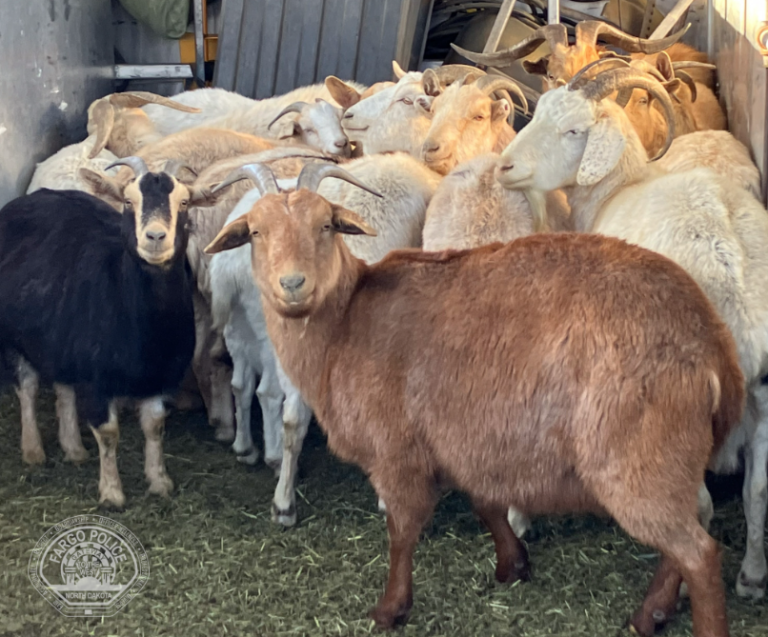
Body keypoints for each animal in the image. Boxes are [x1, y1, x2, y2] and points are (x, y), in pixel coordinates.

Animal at [0, 158, 196, 509]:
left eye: (184, 202)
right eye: (128, 201)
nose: (155, 237)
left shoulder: (165, 376)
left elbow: (155, 427)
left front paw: (159, 482)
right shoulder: (97, 380)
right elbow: (107, 434)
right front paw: (112, 492)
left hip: (60, 339)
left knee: (63, 387)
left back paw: (74, 448)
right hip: (13, 339)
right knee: (28, 388)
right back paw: (33, 450)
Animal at [205, 161, 743, 637]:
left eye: (325, 225)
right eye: (255, 232)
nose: (293, 285)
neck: (346, 323)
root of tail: (713, 344)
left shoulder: (397, 452)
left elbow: (402, 533)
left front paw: (391, 610)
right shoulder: (466, 440)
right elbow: (485, 503)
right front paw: (512, 565)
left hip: (636, 461)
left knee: (699, 552)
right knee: (694, 527)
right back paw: (649, 615)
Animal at [497, 66, 768, 614]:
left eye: (574, 131)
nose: (505, 166)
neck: (614, 193)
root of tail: (733, 273)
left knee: (698, 511)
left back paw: (670, 595)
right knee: (758, 491)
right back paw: (752, 577)